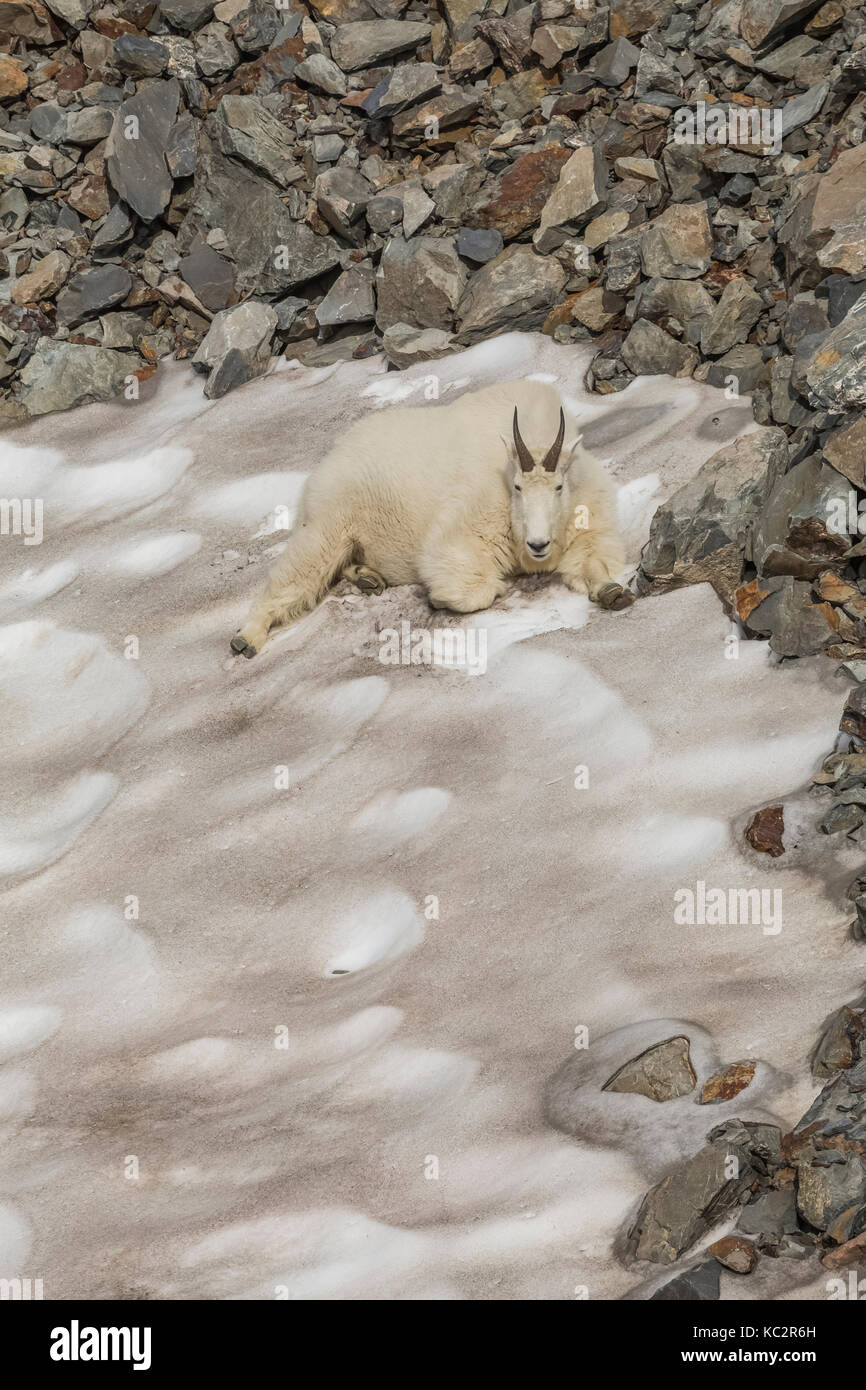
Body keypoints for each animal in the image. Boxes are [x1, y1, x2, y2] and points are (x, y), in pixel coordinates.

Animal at [230, 379, 633, 658]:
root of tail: (325, 464)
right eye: (518, 487)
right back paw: (246, 637)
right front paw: (445, 599)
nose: (538, 544)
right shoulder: (462, 532)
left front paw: (613, 592)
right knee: (295, 576)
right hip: (329, 524)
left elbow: (592, 563)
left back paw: (367, 578)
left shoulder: (588, 525)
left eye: (559, 487)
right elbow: (471, 586)